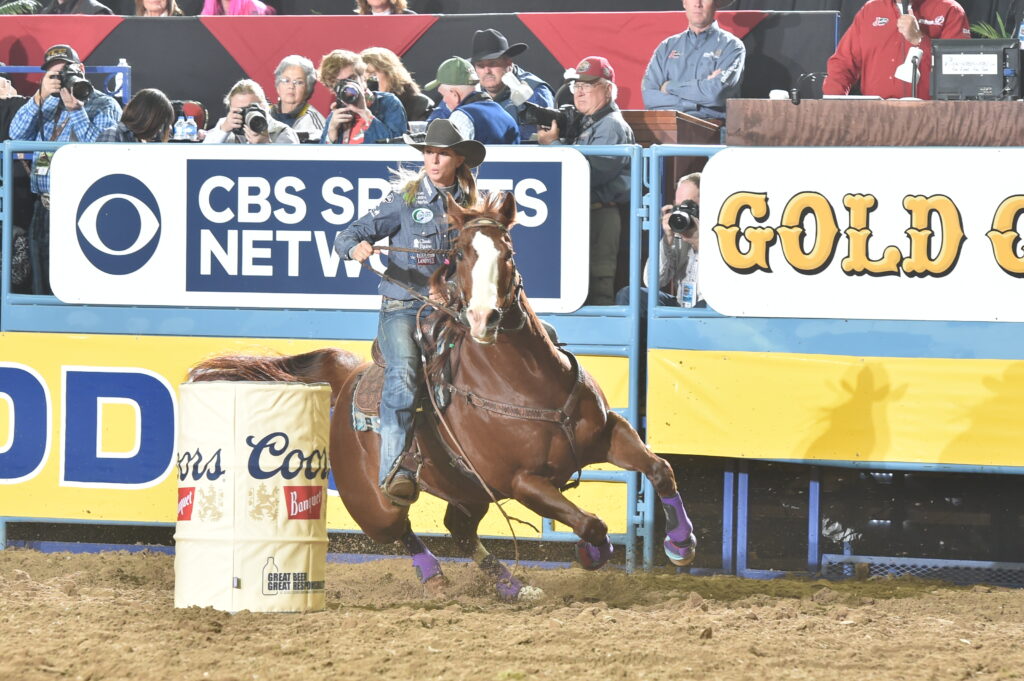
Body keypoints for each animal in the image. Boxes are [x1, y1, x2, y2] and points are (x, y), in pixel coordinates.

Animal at [189, 191, 696, 601]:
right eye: (461, 254)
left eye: (507, 252)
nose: (486, 318)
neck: (524, 382)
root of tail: (348, 378)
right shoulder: (522, 482)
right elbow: (591, 521)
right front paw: (595, 552)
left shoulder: (609, 433)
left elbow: (660, 469)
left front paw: (681, 545)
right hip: (375, 504)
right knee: (403, 530)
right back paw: (435, 576)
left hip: (468, 489)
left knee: (461, 529)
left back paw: (511, 585)